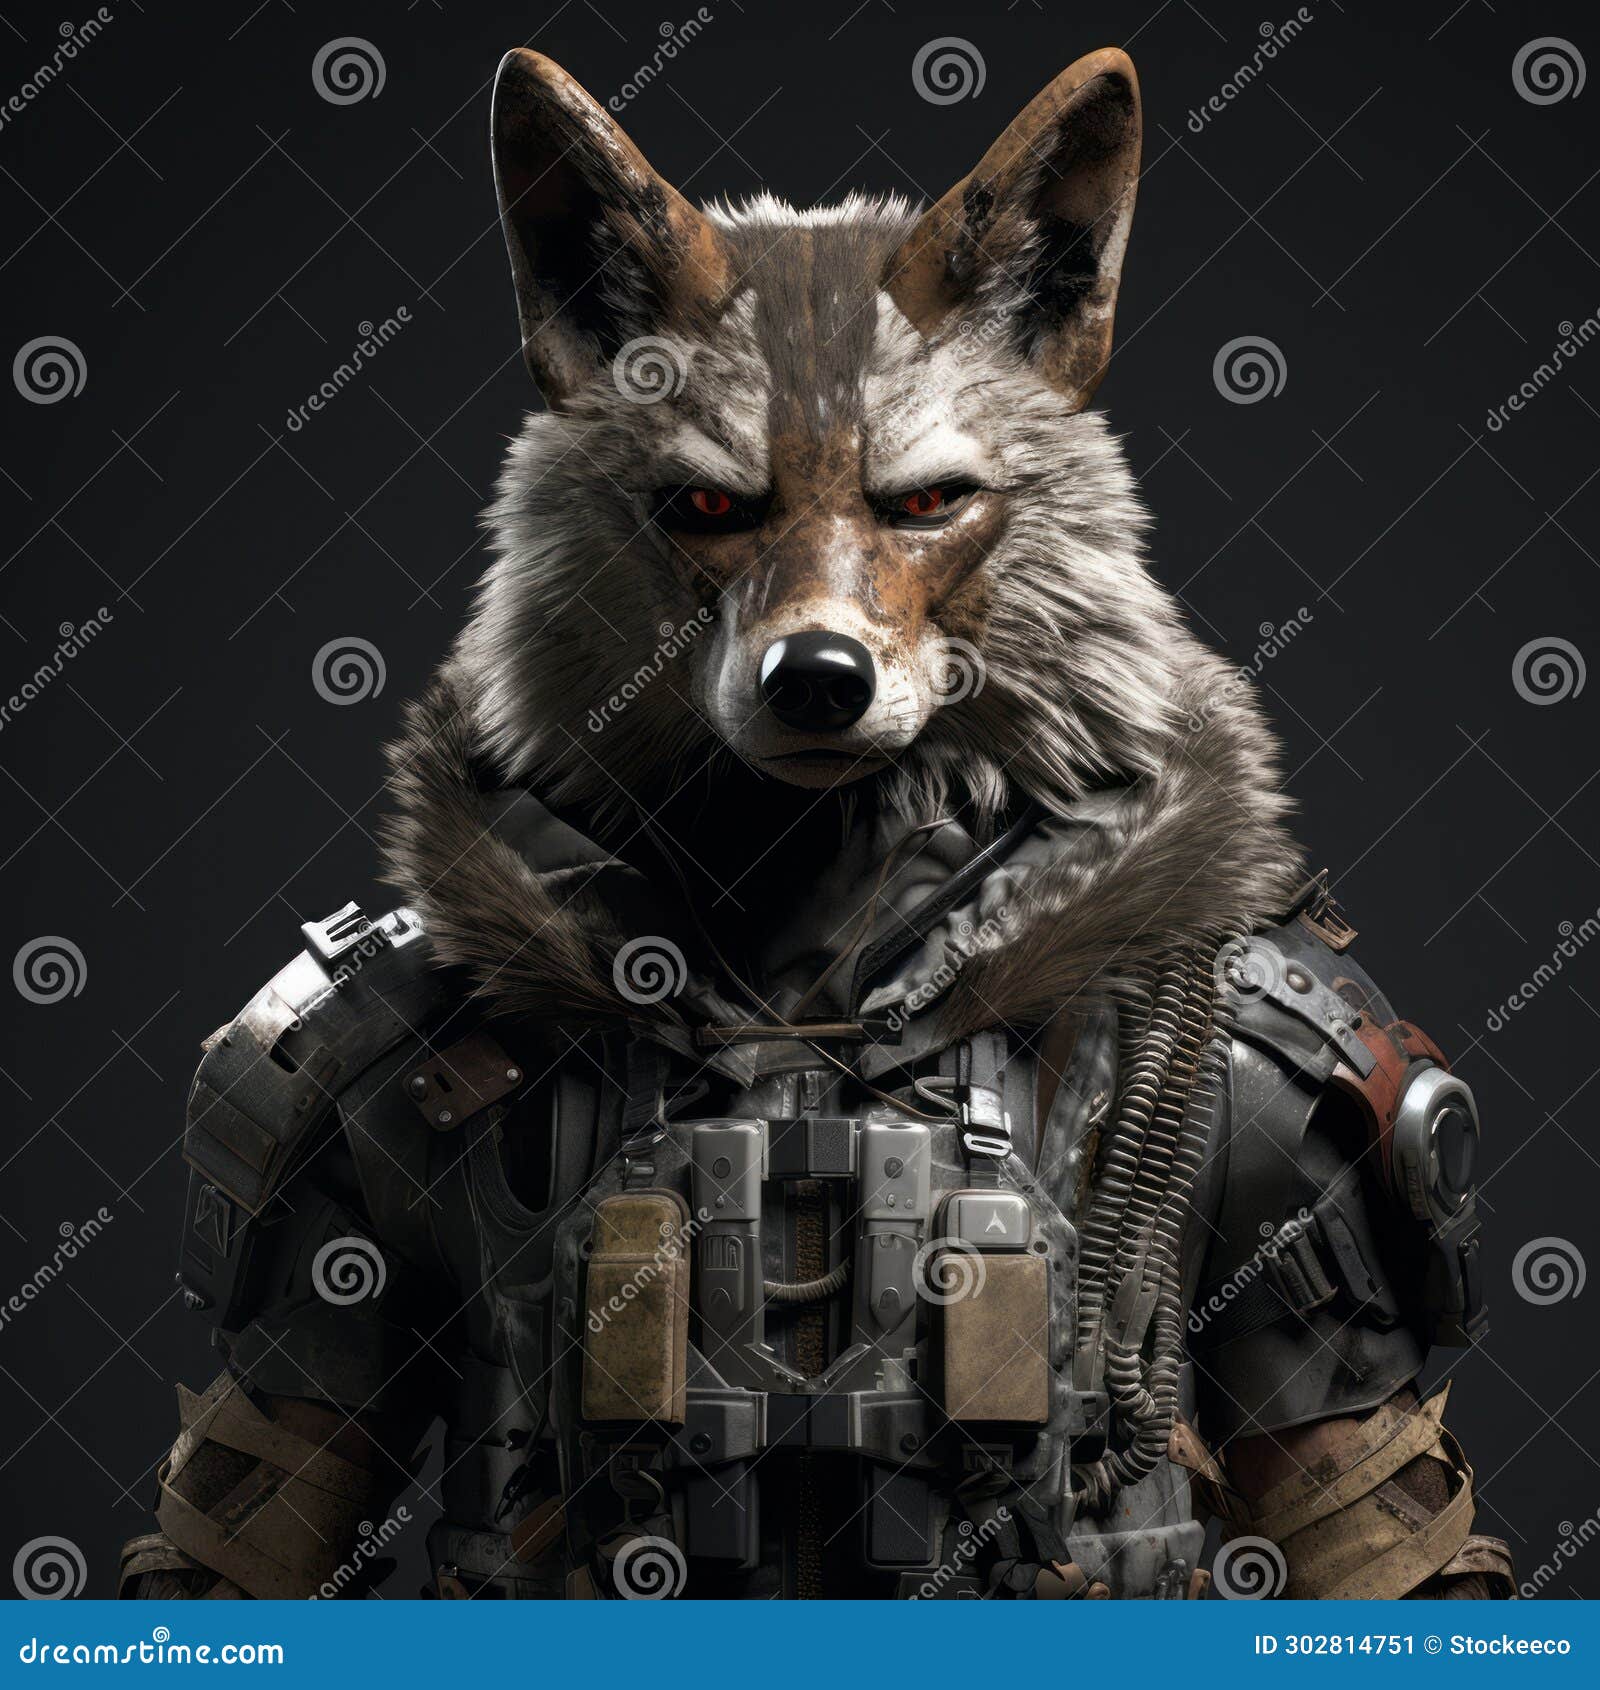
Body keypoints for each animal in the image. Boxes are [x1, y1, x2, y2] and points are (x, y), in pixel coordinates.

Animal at [120, 47, 1510, 1600]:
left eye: (929, 502)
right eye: (706, 504)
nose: (819, 679)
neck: (806, 940)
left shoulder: (1301, 1082)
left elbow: (1376, 1532)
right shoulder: (315, 1082)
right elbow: (246, 1527)